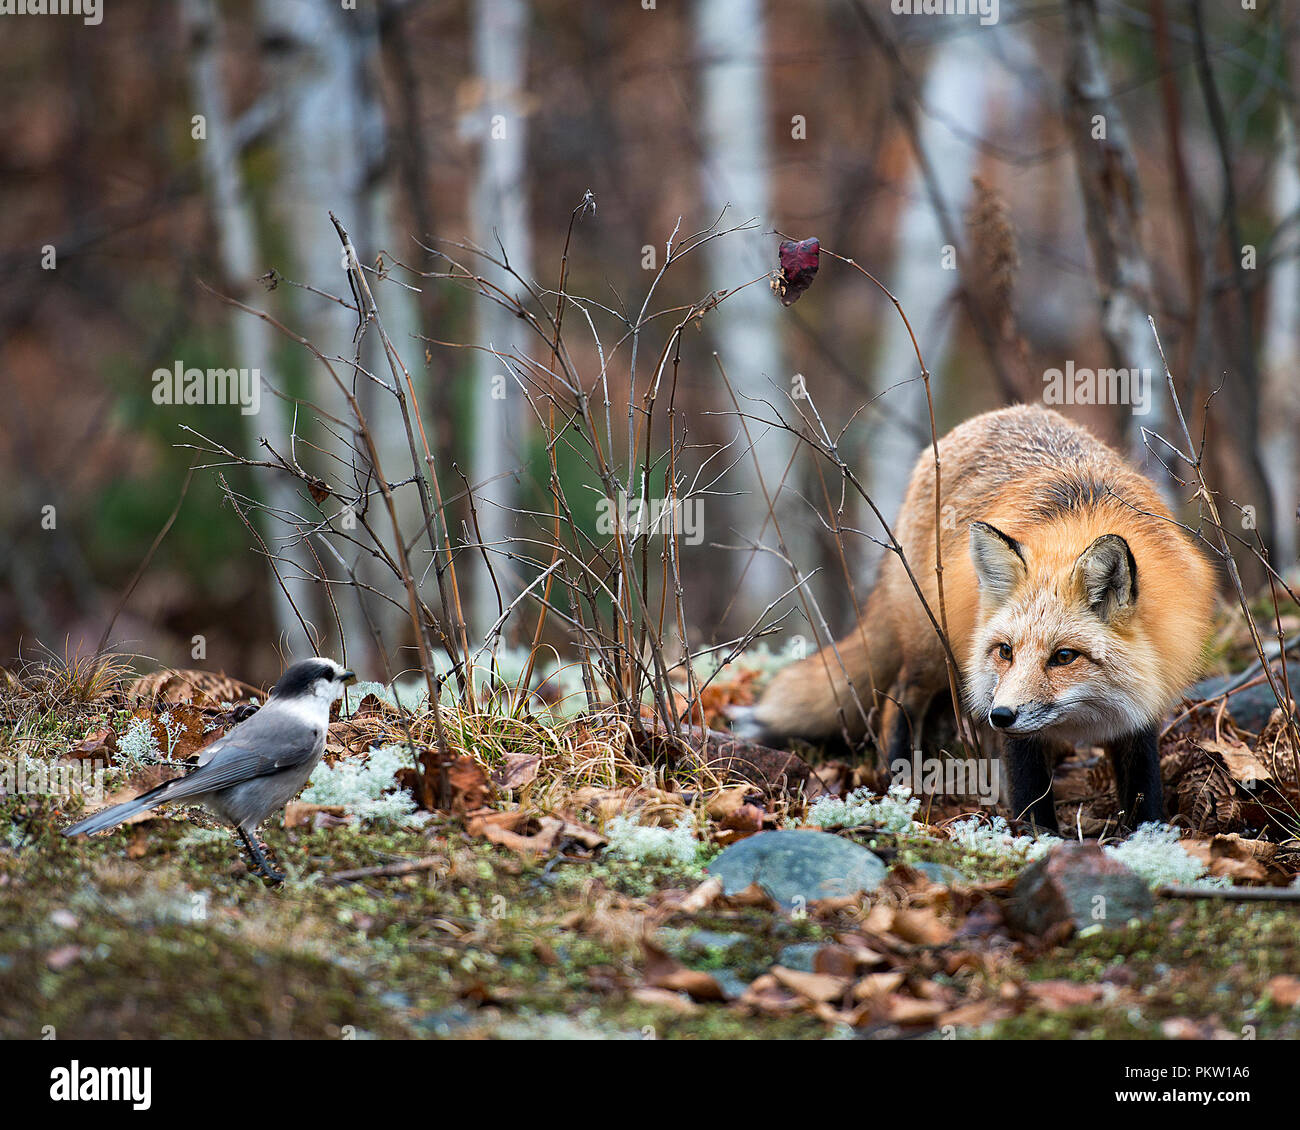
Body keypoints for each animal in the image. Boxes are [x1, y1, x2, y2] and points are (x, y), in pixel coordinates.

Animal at [730, 404, 1217, 831]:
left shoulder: (1146, 696)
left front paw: (1148, 840)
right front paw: (1037, 840)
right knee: (898, 699)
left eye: (1064, 657)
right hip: (934, 647)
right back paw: (901, 779)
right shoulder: (1008, 709)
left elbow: (1144, 786)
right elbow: (1028, 790)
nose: (1001, 715)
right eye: (1006, 651)